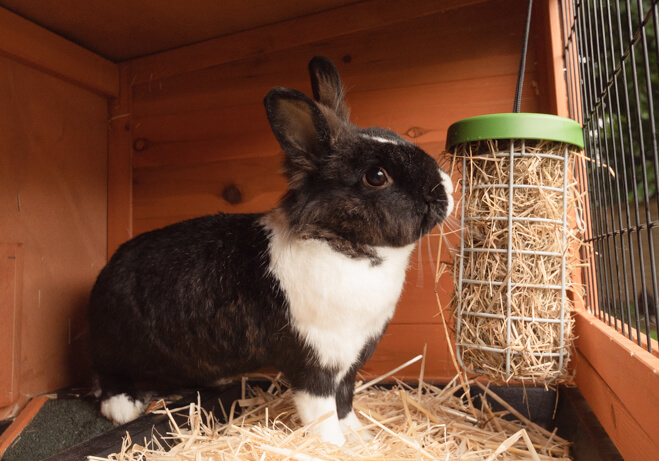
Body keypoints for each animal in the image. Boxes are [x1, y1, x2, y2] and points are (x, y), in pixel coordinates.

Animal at [89, 54, 454, 446]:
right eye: (377, 176)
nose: (446, 188)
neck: (341, 243)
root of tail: (102, 279)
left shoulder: (351, 359)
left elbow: (345, 402)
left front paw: (361, 436)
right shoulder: (315, 359)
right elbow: (322, 410)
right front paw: (334, 446)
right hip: (117, 344)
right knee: (108, 373)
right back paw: (122, 407)